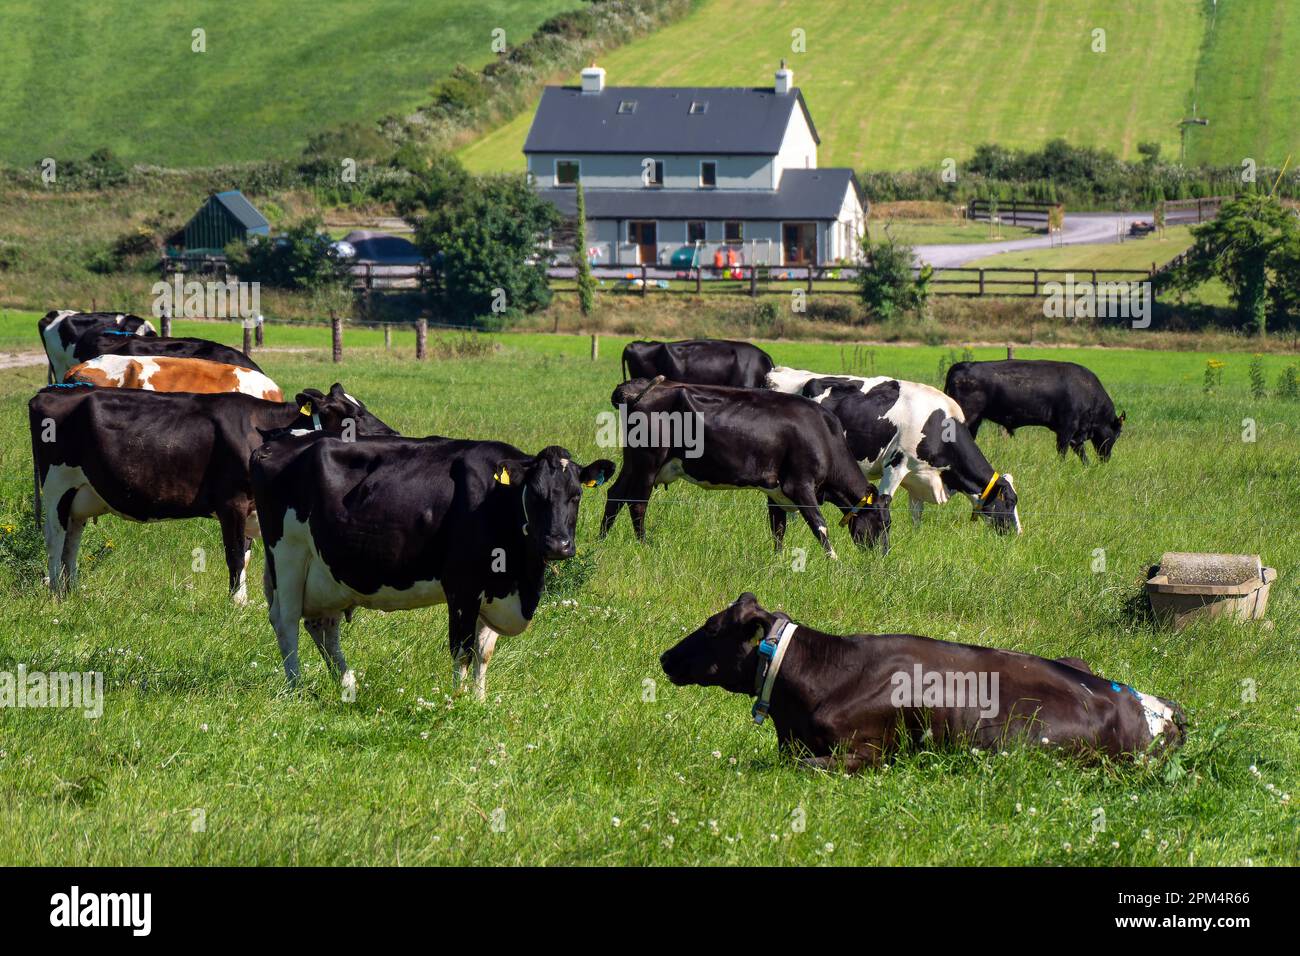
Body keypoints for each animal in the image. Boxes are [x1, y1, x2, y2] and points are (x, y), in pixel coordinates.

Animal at [29, 383, 393, 602]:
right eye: (352, 414)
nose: (392, 434)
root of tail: (50, 391)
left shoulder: (253, 508)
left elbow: (246, 554)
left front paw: (248, 600)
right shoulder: (232, 502)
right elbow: (234, 554)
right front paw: (237, 604)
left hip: (80, 495)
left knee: (71, 540)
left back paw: (72, 590)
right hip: (56, 486)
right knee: (54, 539)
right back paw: (56, 594)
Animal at [250, 434, 614, 699]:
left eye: (576, 495)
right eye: (536, 495)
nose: (557, 545)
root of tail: (273, 445)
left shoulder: (493, 590)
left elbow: (484, 652)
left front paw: (479, 701)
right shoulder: (463, 587)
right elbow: (462, 650)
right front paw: (457, 702)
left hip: (328, 575)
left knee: (323, 627)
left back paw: (347, 684)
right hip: (288, 556)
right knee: (287, 622)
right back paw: (296, 689)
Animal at [598, 377, 890, 556]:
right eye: (884, 522)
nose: (883, 555)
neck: (825, 435)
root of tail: (637, 387)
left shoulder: (776, 491)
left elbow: (778, 529)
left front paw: (778, 560)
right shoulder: (800, 485)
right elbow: (819, 525)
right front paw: (834, 561)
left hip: (633, 462)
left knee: (615, 495)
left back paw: (601, 540)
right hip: (648, 462)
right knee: (637, 503)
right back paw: (644, 545)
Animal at [766, 367, 1020, 533]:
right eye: (1010, 502)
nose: (1017, 534)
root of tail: (778, 372)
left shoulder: (919, 476)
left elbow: (916, 514)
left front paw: (916, 537)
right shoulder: (896, 465)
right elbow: (886, 500)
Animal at [944, 359, 1125, 463]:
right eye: (1116, 435)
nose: (1106, 459)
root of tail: (962, 365)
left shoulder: (1076, 435)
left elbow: (1082, 454)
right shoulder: (1066, 430)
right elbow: (1063, 451)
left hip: (975, 420)